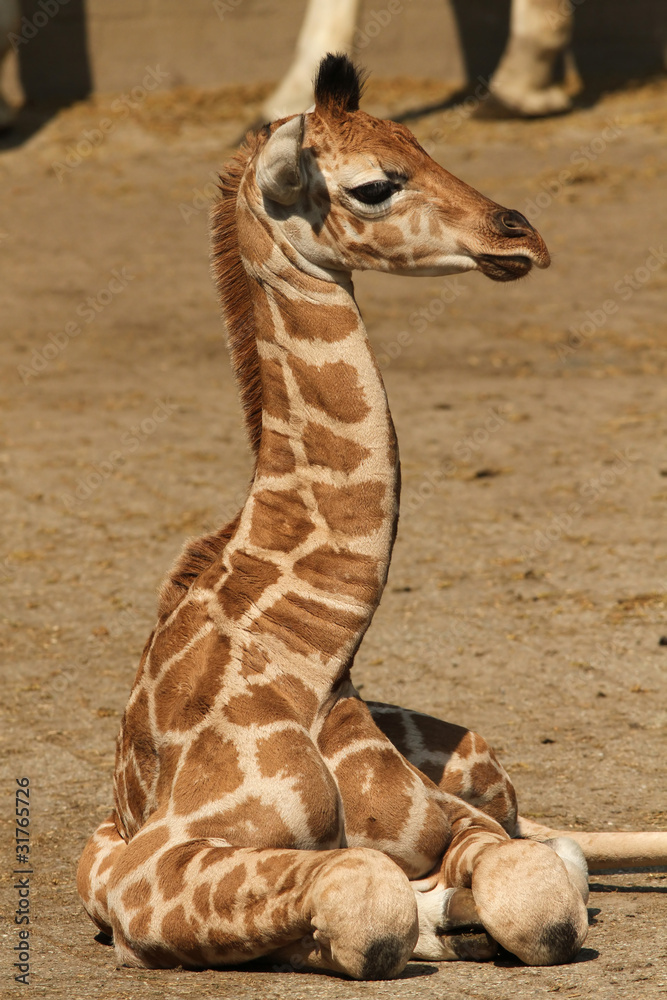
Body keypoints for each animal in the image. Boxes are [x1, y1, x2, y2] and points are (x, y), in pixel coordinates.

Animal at [77, 55, 666, 979]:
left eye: (423, 144)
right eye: (375, 185)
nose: (521, 236)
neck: (313, 652)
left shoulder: (450, 820)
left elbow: (537, 893)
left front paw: (462, 912)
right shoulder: (149, 865)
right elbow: (367, 898)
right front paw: (405, 923)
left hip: (483, 763)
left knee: (556, 835)